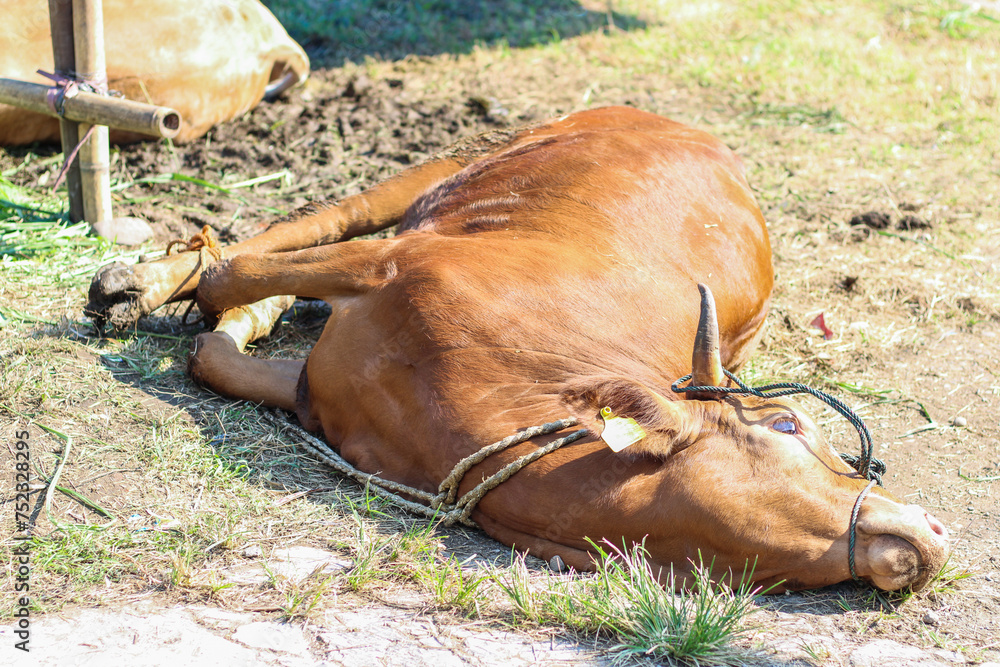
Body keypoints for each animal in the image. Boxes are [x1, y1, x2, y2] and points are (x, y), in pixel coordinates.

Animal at [87, 106, 949, 592]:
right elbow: (224, 277)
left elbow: (216, 348)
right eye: (788, 425)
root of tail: (714, 147)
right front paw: (174, 287)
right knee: (327, 217)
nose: (927, 536)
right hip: (466, 159)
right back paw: (135, 282)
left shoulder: (313, 389)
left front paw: (244, 318)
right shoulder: (396, 262)